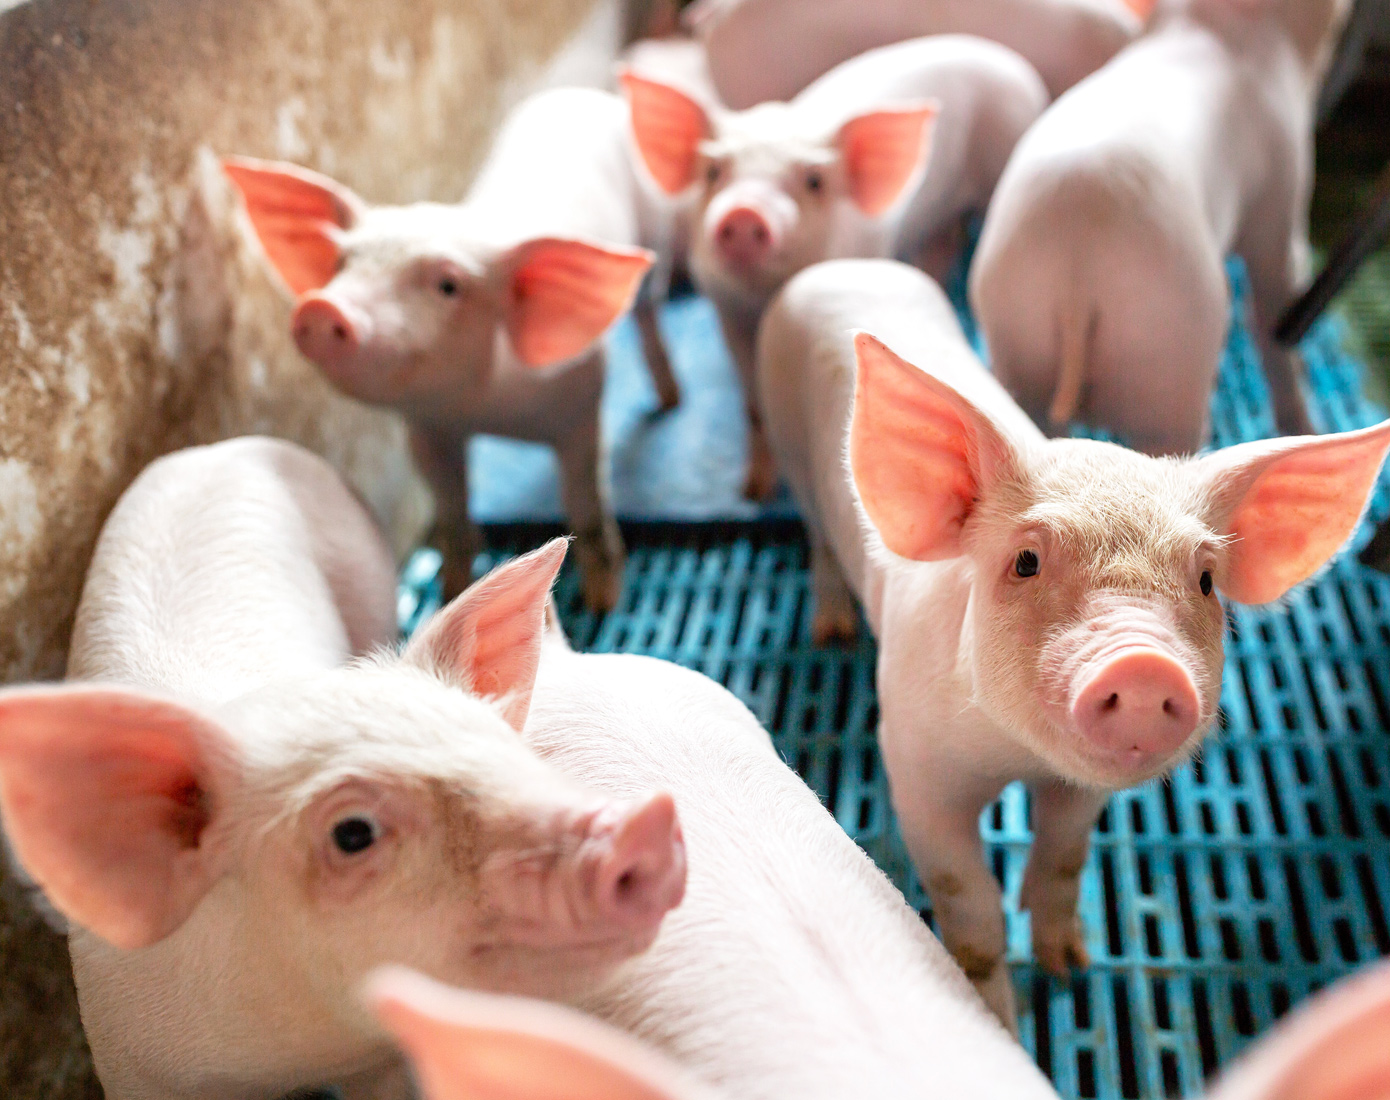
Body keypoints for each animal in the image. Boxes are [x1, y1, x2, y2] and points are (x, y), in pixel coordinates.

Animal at [0, 439, 685, 1100]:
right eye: (353, 833)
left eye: (507, 748)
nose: (646, 822)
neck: (285, 1056)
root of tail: (224, 446)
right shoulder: (130, 1064)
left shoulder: (377, 1062)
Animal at [224, 85, 682, 613]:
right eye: (342, 262)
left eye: (448, 285)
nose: (321, 306)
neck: (483, 410)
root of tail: (581, 93)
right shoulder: (428, 429)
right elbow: (452, 516)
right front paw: (449, 594)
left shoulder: (582, 406)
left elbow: (586, 503)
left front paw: (603, 603)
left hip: (656, 240)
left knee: (650, 313)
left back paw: (670, 402)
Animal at [623, 35, 1047, 497]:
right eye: (714, 171)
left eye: (814, 180)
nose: (745, 212)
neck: (763, 297)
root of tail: (1005, 59)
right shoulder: (726, 308)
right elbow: (753, 406)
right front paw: (752, 491)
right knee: (942, 246)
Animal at [758, 258, 1390, 1030]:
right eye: (1026, 561)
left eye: (1207, 579)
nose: (1145, 665)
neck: (1016, 758)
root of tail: (843, 264)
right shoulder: (915, 766)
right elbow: (970, 905)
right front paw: (999, 1018)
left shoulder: (1081, 790)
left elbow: (1063, 856)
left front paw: (1071, 965)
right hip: (790, 451)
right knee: (817, 536)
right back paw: (833, 627)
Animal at [970, 0, 1353, 456]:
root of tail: (1076, 281)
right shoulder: (1280, 204)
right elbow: (1276, 318)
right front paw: (1308, 428)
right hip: (1167, 359)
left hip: (1019, 336)